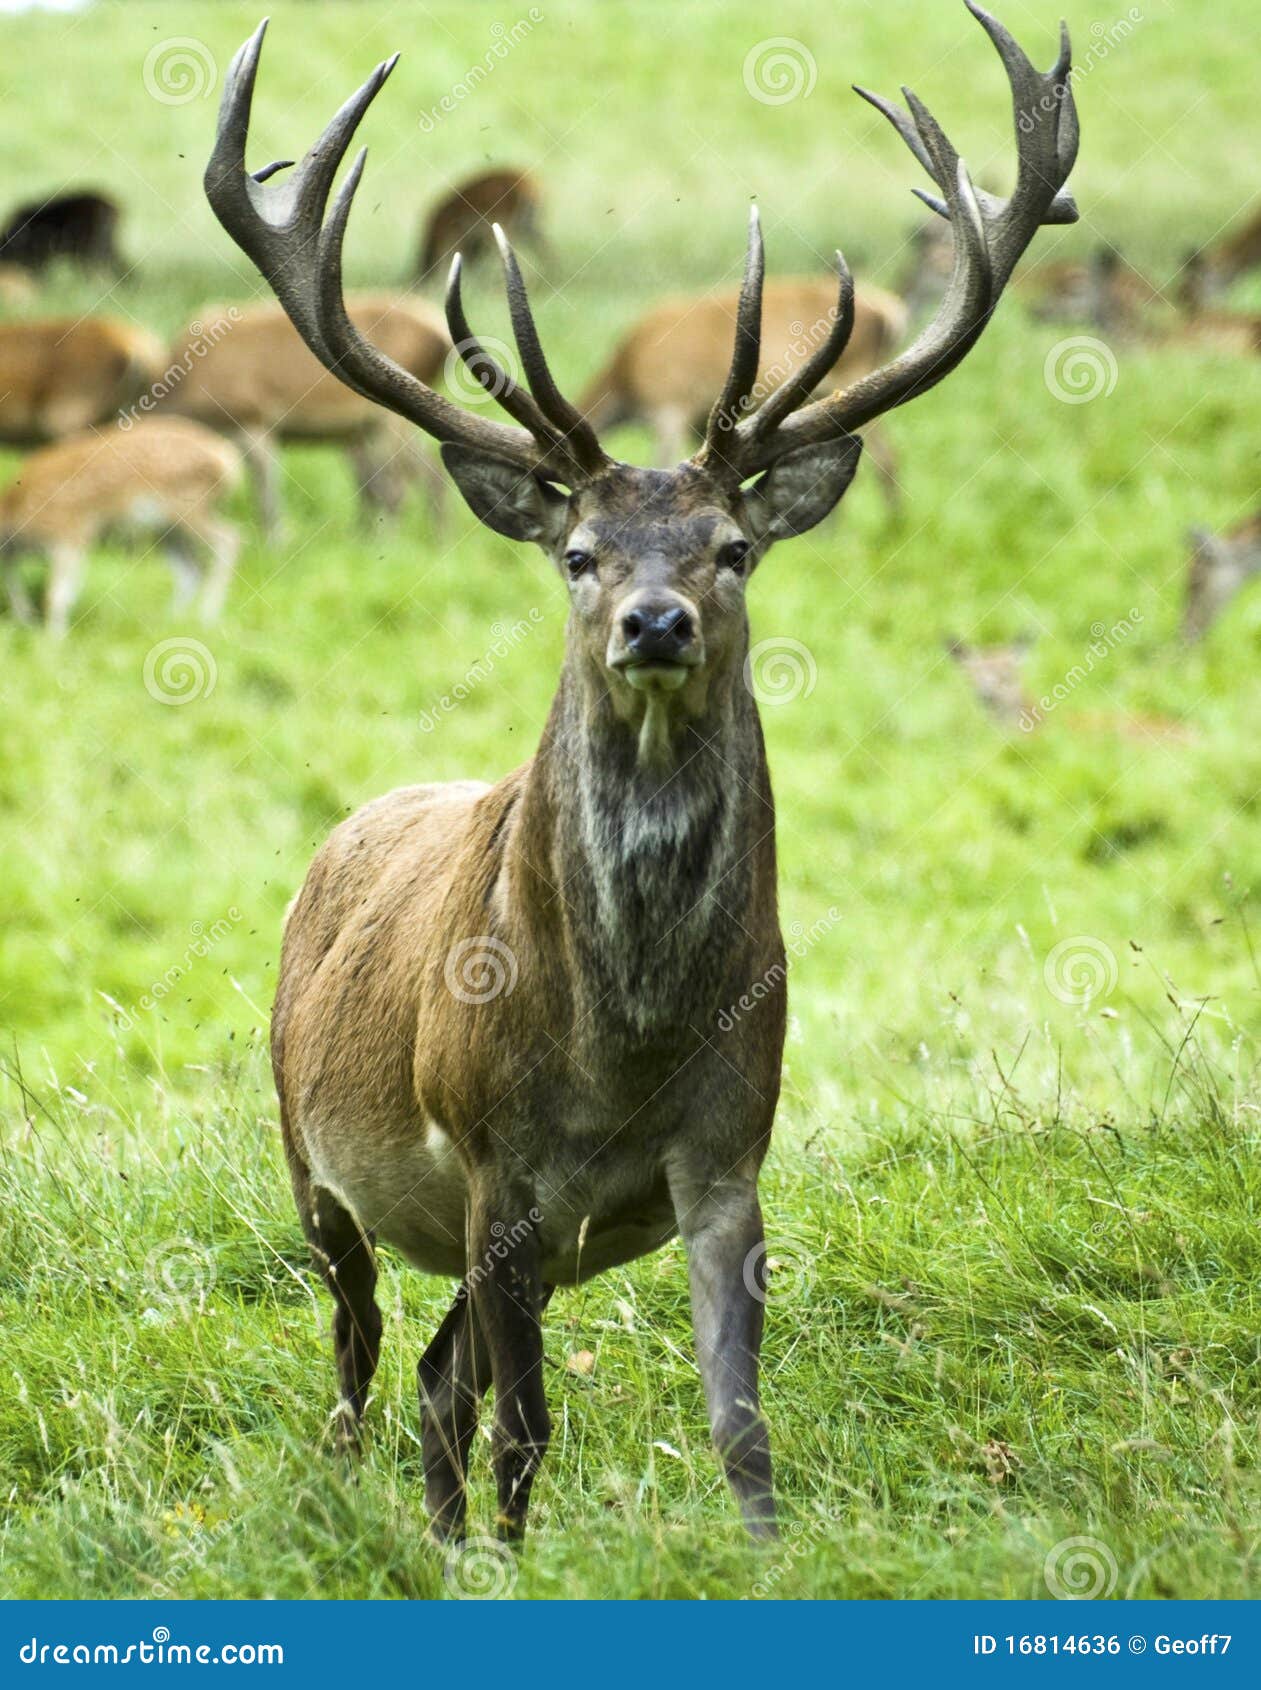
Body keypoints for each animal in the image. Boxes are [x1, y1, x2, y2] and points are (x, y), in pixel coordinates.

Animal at [0, 416, 242, 636]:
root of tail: (225, 458)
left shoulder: (71, 533)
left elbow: (58, 594)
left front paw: (53, 641)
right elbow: (14, 580)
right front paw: (27, 623)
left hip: (190, 508)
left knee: (229, 538)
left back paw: (207, 616)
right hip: (166, 528)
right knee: (191, 570)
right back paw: (169, 623)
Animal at [163, 295, 451, 540]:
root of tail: (439, 331)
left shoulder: (253, 421)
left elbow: (265, 491)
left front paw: (273, 540)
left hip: (389, 421)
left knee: (397, 485)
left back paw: (389, 541)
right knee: (421, 475)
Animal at [577, 279, 908, 513]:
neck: (626, 382)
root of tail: (891, 312)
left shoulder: (670, 405)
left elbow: (662, 460)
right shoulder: (698, 419)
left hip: (855, 370)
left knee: (887, 456)